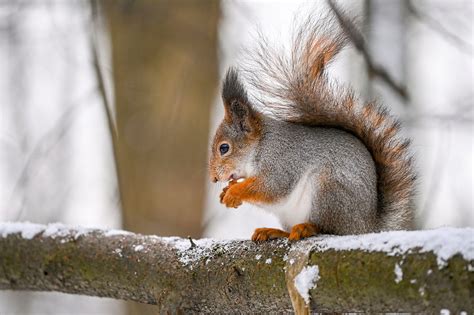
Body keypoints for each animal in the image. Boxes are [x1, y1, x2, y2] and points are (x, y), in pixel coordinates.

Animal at [207, 12, 414, 242]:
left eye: (224, 148)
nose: (214, 178)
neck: (261, 144)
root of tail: (366, 226)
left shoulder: (282, 162)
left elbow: (271, 188)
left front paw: (234, 192)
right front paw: (226, 192)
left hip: (328, 191)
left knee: (328, 227)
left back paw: (307, 227)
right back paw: (273, 231)